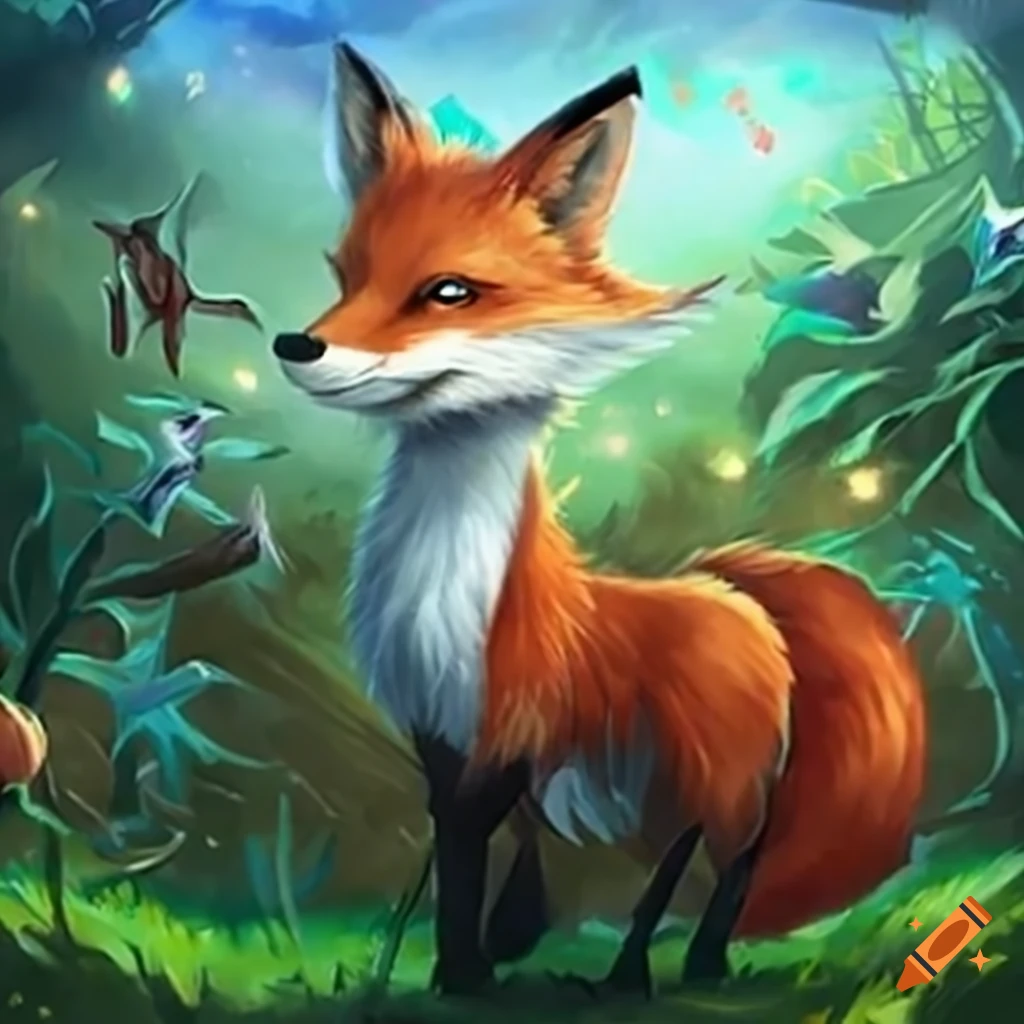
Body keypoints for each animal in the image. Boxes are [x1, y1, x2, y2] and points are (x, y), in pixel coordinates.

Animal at [273, 42, 927, 996]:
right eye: (345, 276)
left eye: (447, 291)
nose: (296, 346)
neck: (448, 593)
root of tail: (734, 587)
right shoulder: (440, 731)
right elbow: (457, 846)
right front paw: (471, 960)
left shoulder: (508, 727)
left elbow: (471, 845)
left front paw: (465, 976)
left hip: (717, 774)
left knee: (728, 858)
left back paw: (674, 966)